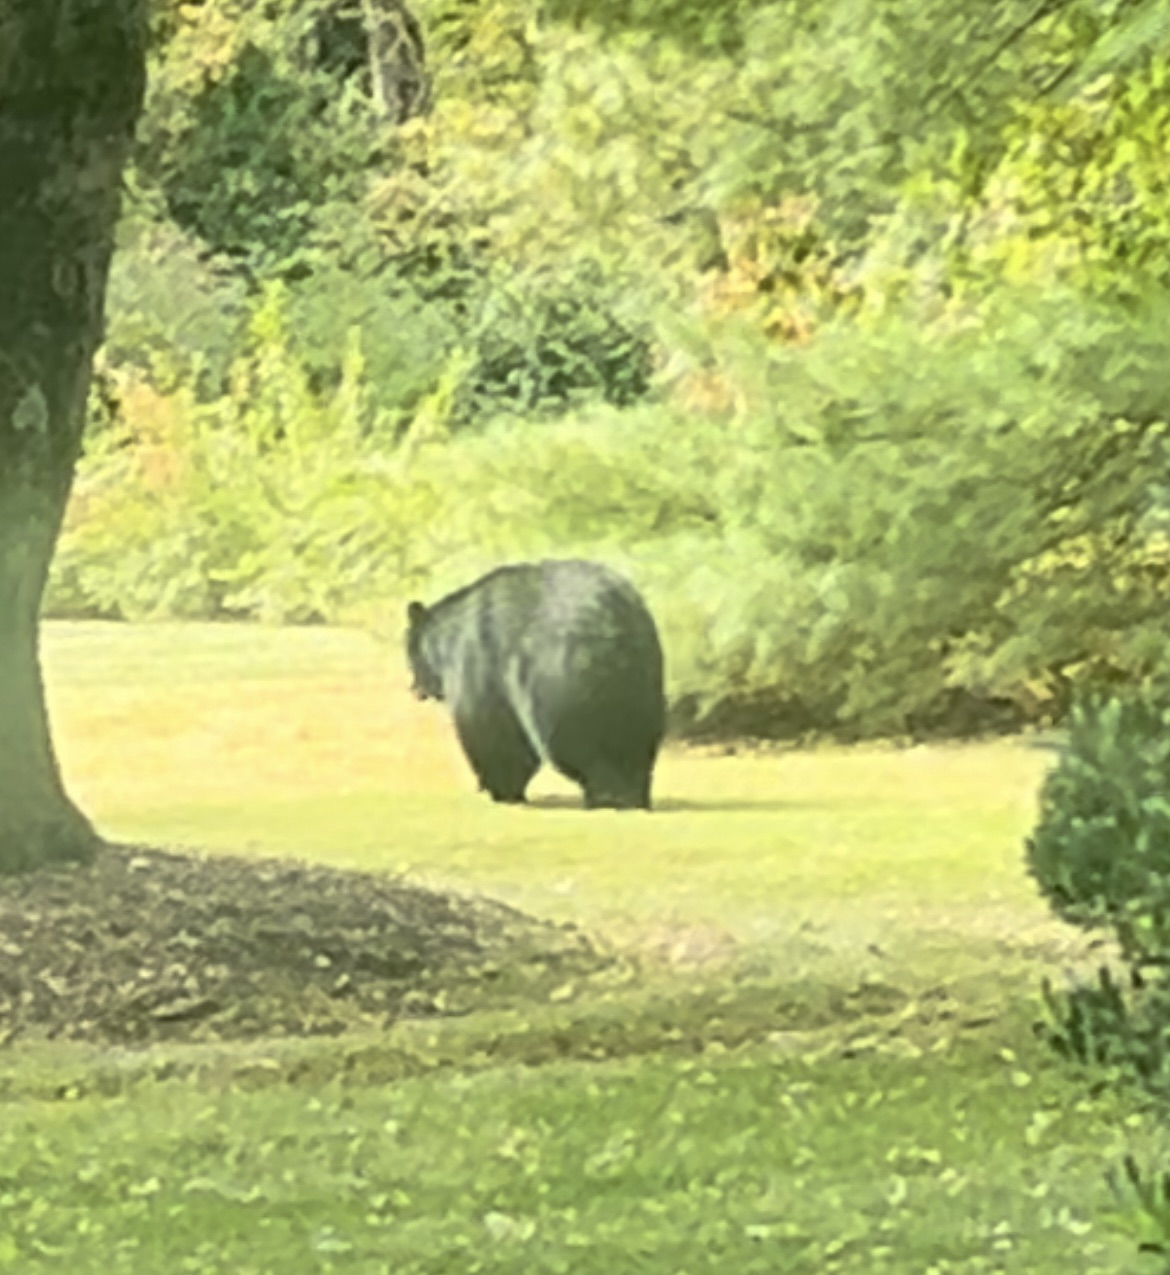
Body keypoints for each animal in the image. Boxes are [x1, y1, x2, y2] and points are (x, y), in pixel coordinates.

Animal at [405, 559, 666, 810]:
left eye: (410, 656)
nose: (415, 690)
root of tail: (612, 628)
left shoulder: (480, 661)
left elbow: (486, 725)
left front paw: (500, 790)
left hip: (558, 677)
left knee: (569, 739)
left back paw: (609, 795)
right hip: (642, 678)